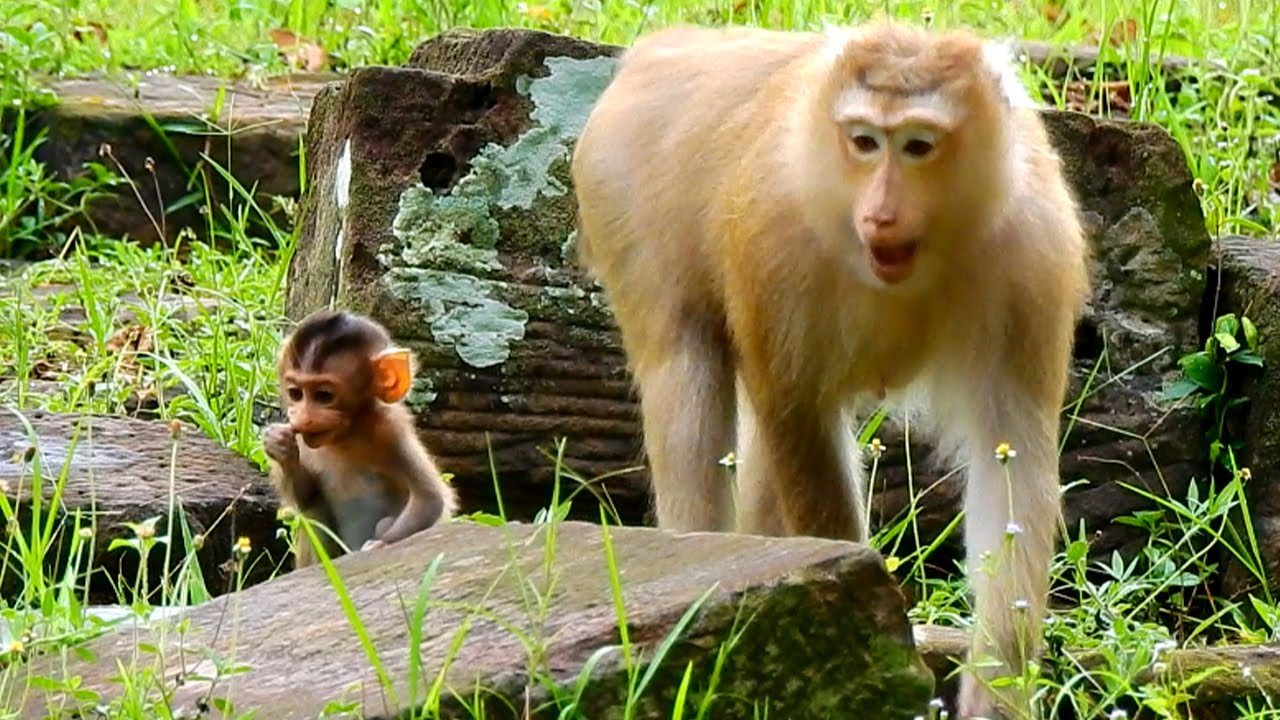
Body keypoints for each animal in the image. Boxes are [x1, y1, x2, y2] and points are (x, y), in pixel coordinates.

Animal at [262, 309, 457, 568]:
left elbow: (429, 498)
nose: (302, 417)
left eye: (324, 396)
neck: (348, 434)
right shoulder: (307, 442)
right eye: (296, 394)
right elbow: (309, 496)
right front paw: (280, 446)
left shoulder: (391, 429)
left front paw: (379, 545)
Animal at [570, 20, 1089, 720]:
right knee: (687, 370)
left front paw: (996, 691)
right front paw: (860, 633)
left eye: (918, 145)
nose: (879, 214)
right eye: (865, 142)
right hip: (618, 190)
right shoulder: (775, 243)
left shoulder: (1031, 257)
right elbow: (798, 418)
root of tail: (665, 45)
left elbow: (1012, 459)